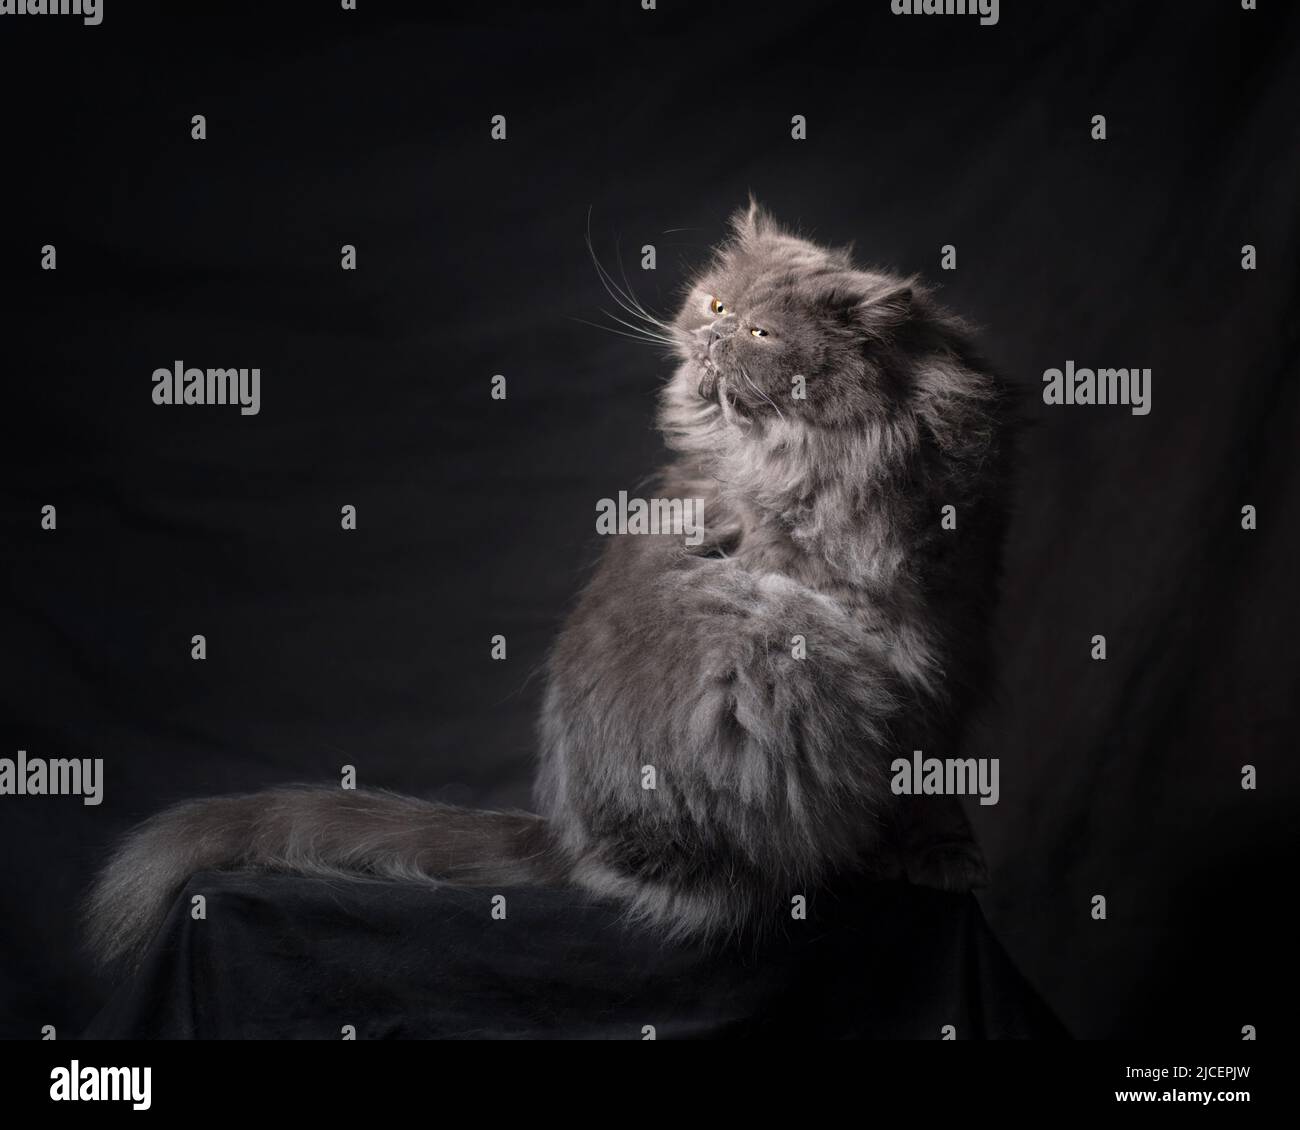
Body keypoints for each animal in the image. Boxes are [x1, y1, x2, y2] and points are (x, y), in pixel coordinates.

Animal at [83, 198, 1013, 967]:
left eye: (759, 335)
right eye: (716, 308)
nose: (714, 338)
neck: (867, 460)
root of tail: (566, 837)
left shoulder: (943, 649)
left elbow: (927, 786)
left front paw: (946, 861)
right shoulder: (854, 634)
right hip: (773, 668)